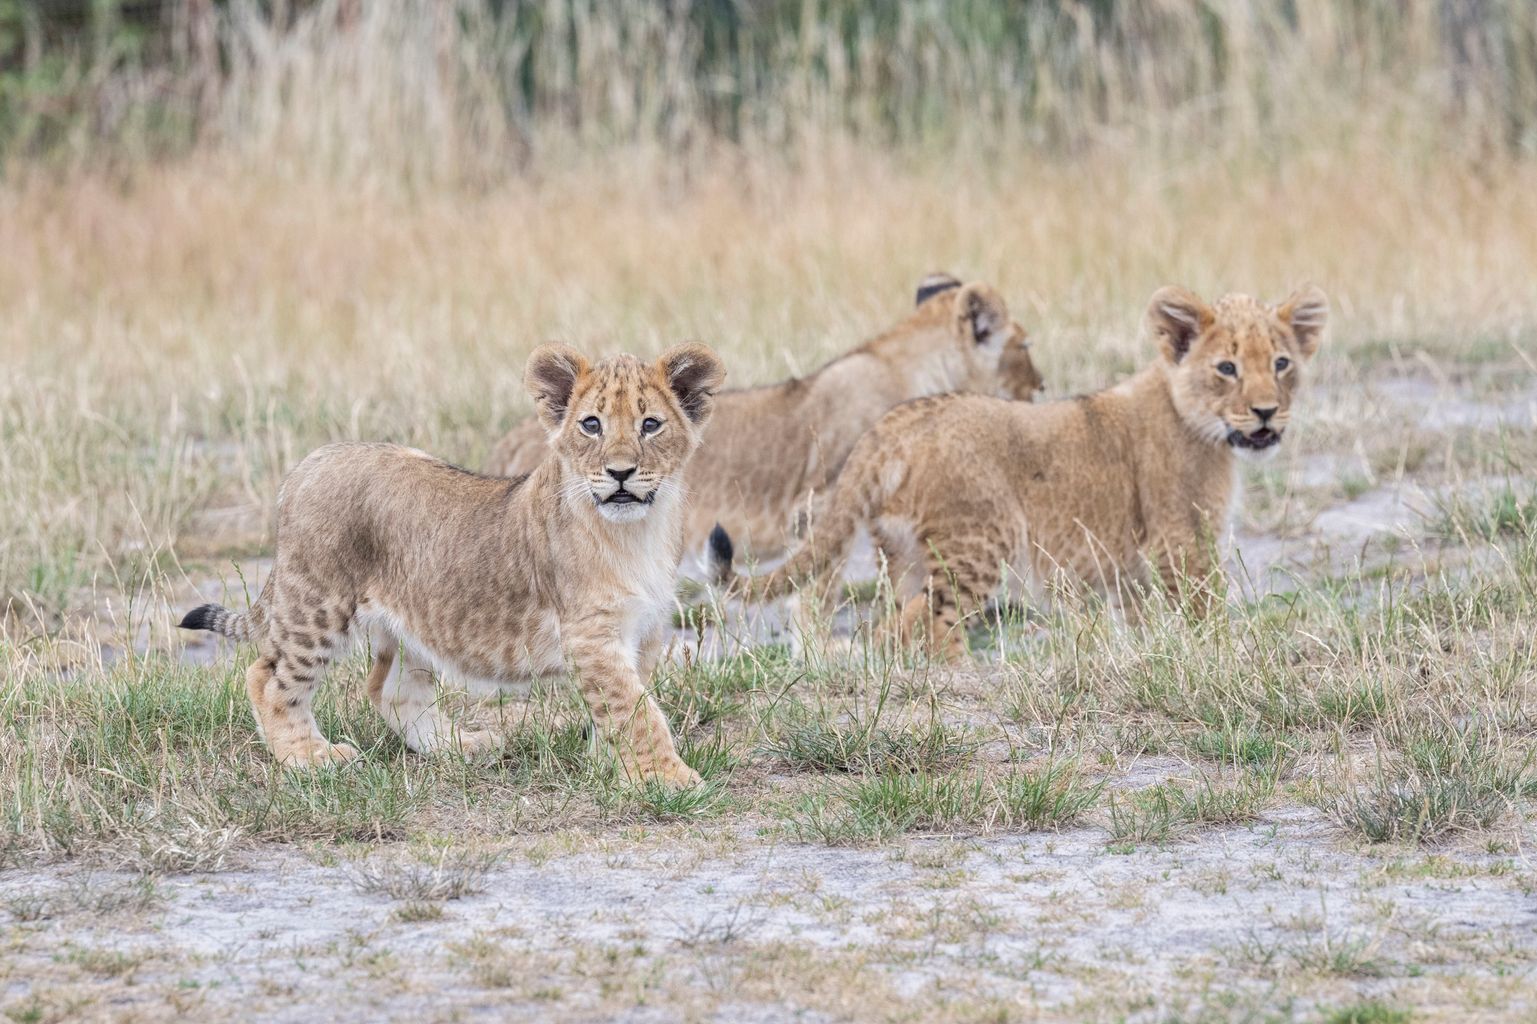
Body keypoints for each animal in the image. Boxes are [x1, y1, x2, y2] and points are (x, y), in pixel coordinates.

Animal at [179, 343, 726, 785]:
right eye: (591, 425)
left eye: (650, 425)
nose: (620, 473)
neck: (638, 531)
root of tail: (311, 461)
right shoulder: (591, 635)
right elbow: (636, 711)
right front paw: (669, 779)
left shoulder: (645, 631)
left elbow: (620, 708)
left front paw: (611, 766)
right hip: (317, 604)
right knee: (268, 676)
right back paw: (309, 758)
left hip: (408, 622)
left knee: (390, 690)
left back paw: (462, 746)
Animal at [717, 285, 1328, 658]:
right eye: (1226, 368)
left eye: (1282, 363)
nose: (1267, 413)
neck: (1196, 422)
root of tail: (893, 423)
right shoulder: (1180, 540)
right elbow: (1205, 609)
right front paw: (1220, 651)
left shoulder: (1132, 568)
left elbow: (1141, 620)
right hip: (979, 541)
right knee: (929, 625)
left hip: (906, 552)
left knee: (896, 625)